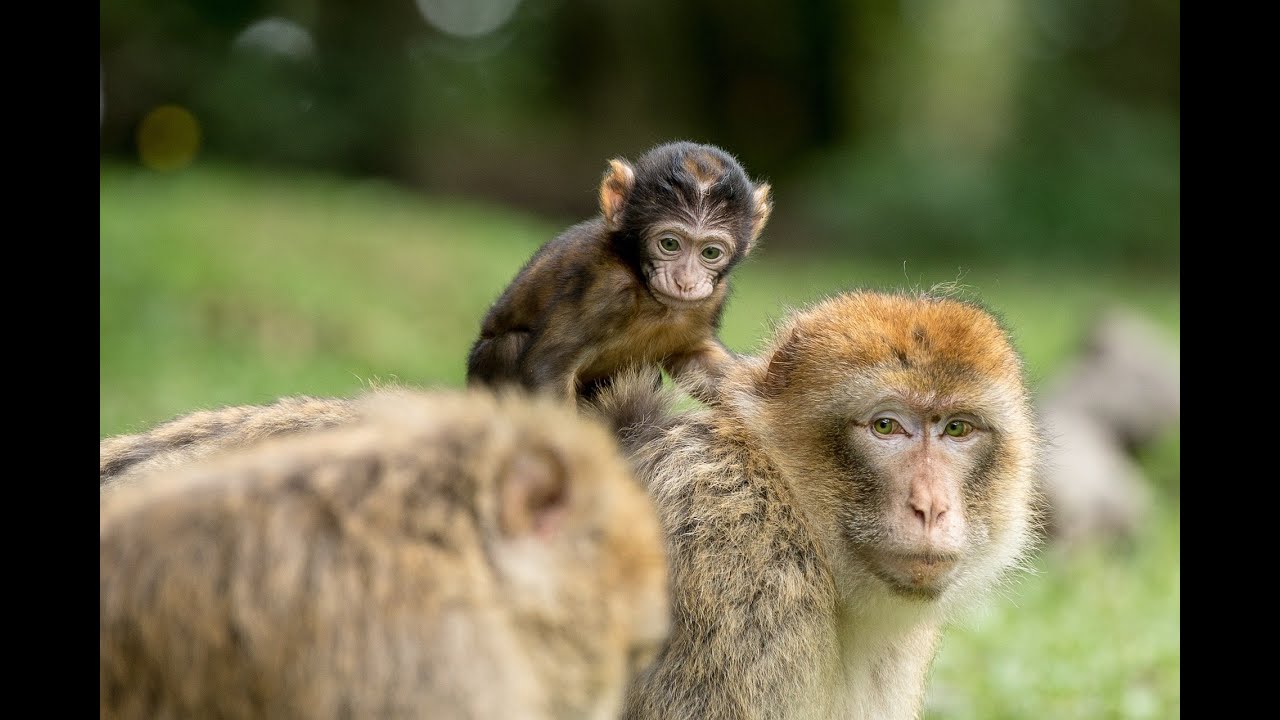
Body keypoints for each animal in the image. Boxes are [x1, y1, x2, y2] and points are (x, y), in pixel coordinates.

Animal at [466, 140, 772, 402]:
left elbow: (696, 360)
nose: (685, 282)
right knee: (510, 346)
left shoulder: (712, 298)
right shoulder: (602, 286)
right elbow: (548, 368)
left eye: (710, 253)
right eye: (670, 244)